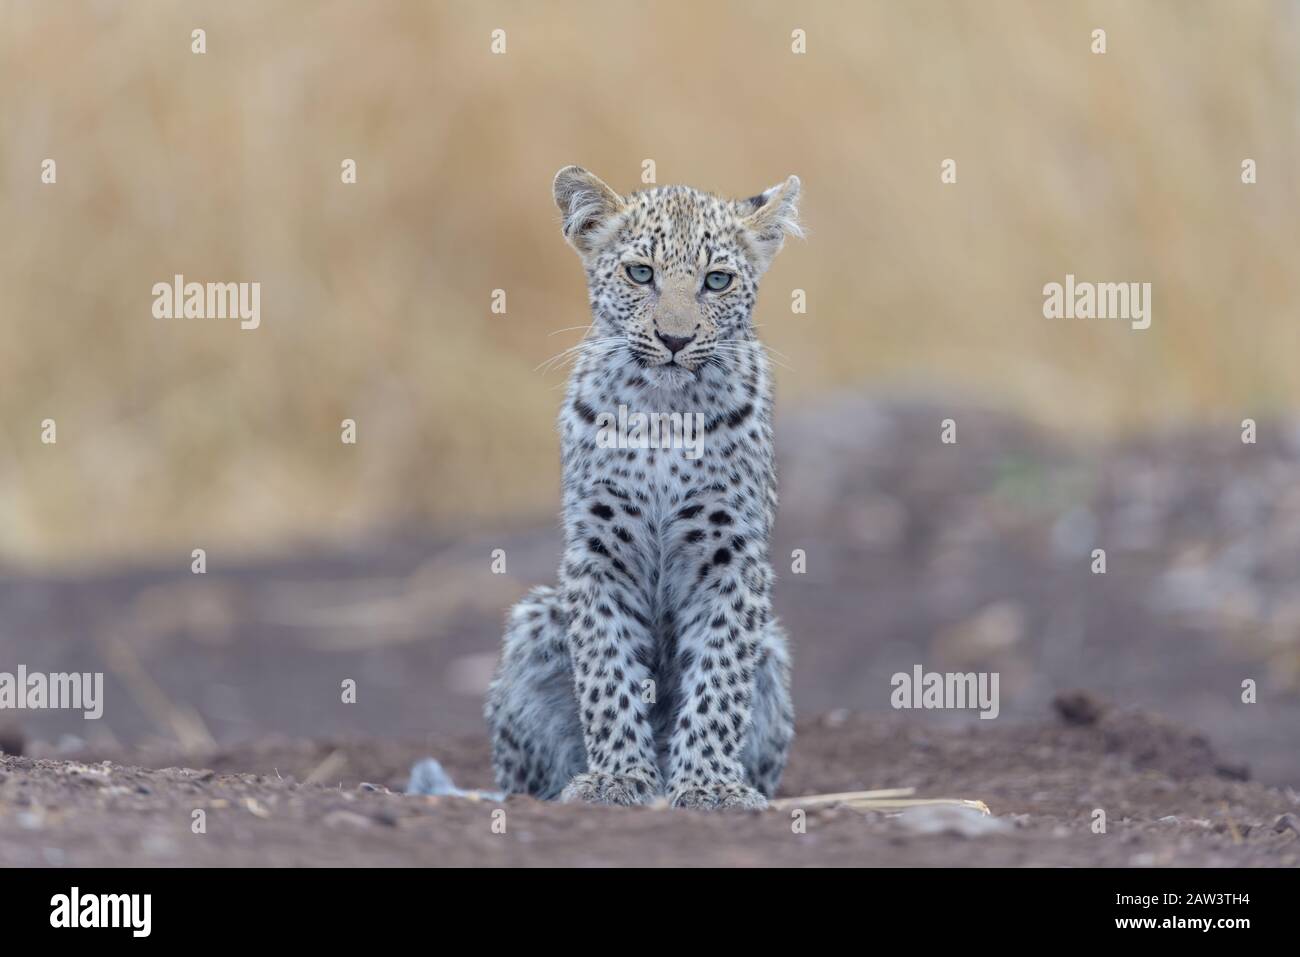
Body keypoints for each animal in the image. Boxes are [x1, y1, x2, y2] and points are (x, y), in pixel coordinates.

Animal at [483, 166, 800, 810]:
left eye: (717, 280)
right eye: (640, 273)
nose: (674, 340)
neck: (663, 412)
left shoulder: (732, 557)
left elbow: (720, 679)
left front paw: (707, 784)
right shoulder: (599, 552)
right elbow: (606, 671)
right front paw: (619, 778)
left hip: (775, 654)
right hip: (535, 620)